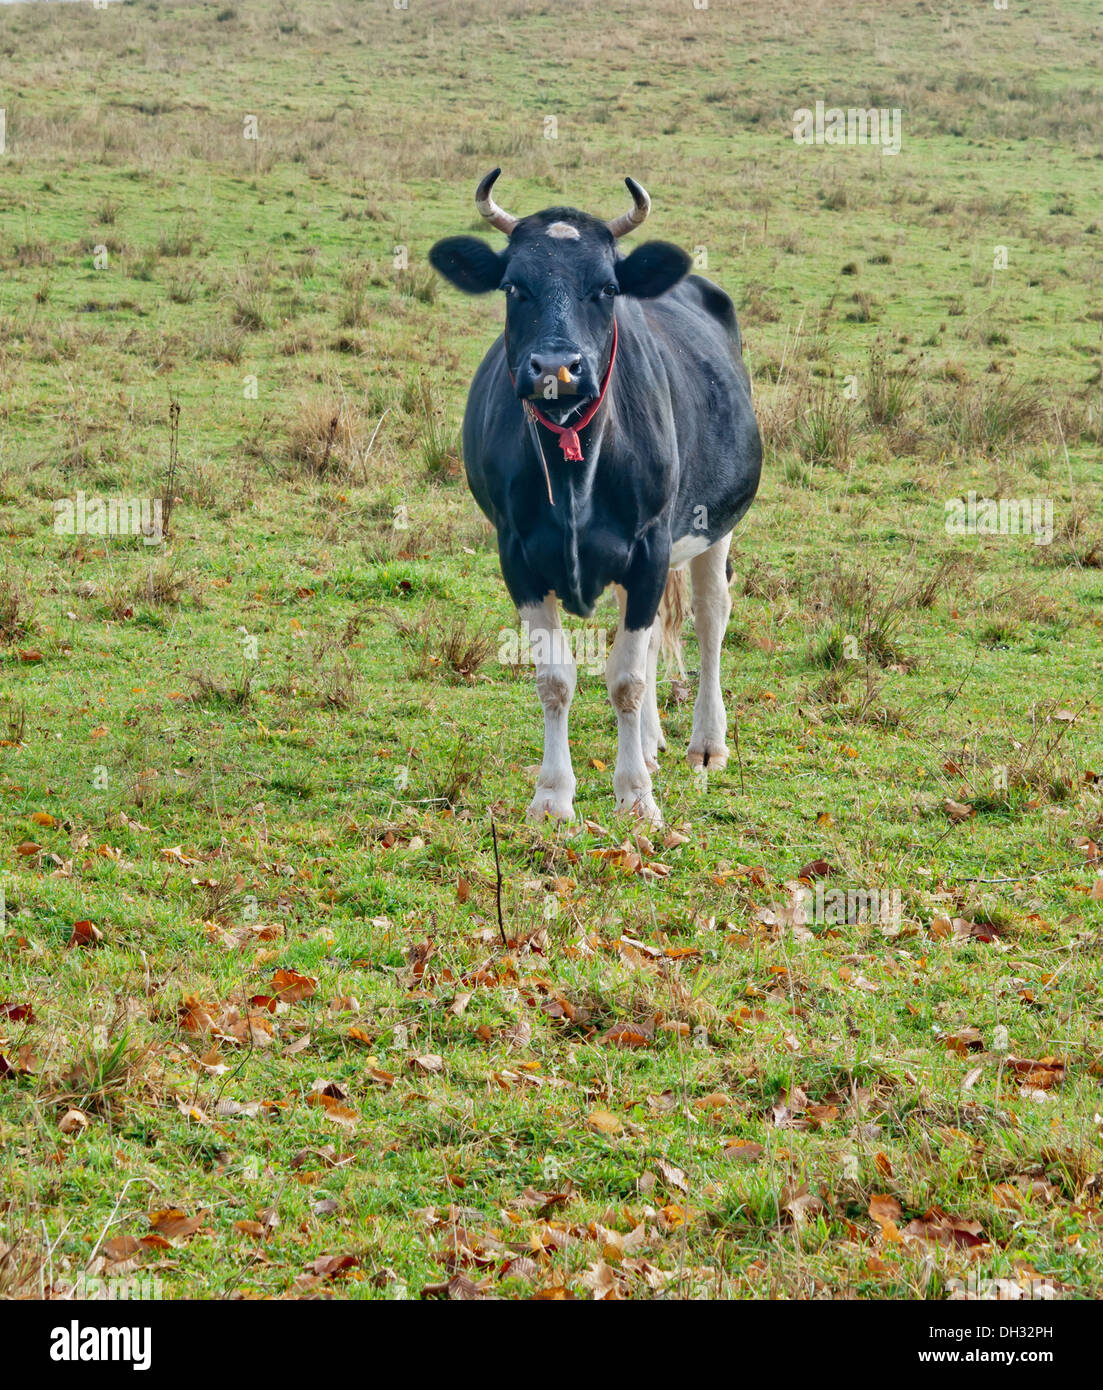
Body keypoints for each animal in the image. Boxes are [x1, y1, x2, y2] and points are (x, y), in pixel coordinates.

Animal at [429, 170, 761, 825]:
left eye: (606, 288)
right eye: (513, 285)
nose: (556, 366)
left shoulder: (650, 546)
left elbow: (625, 678)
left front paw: (636, 797)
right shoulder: (517, 554)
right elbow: (557, 678)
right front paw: (553, 797)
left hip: (715, 527)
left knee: (711, 618)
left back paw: (706, 743)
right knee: (657, 634)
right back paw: (654, 740)